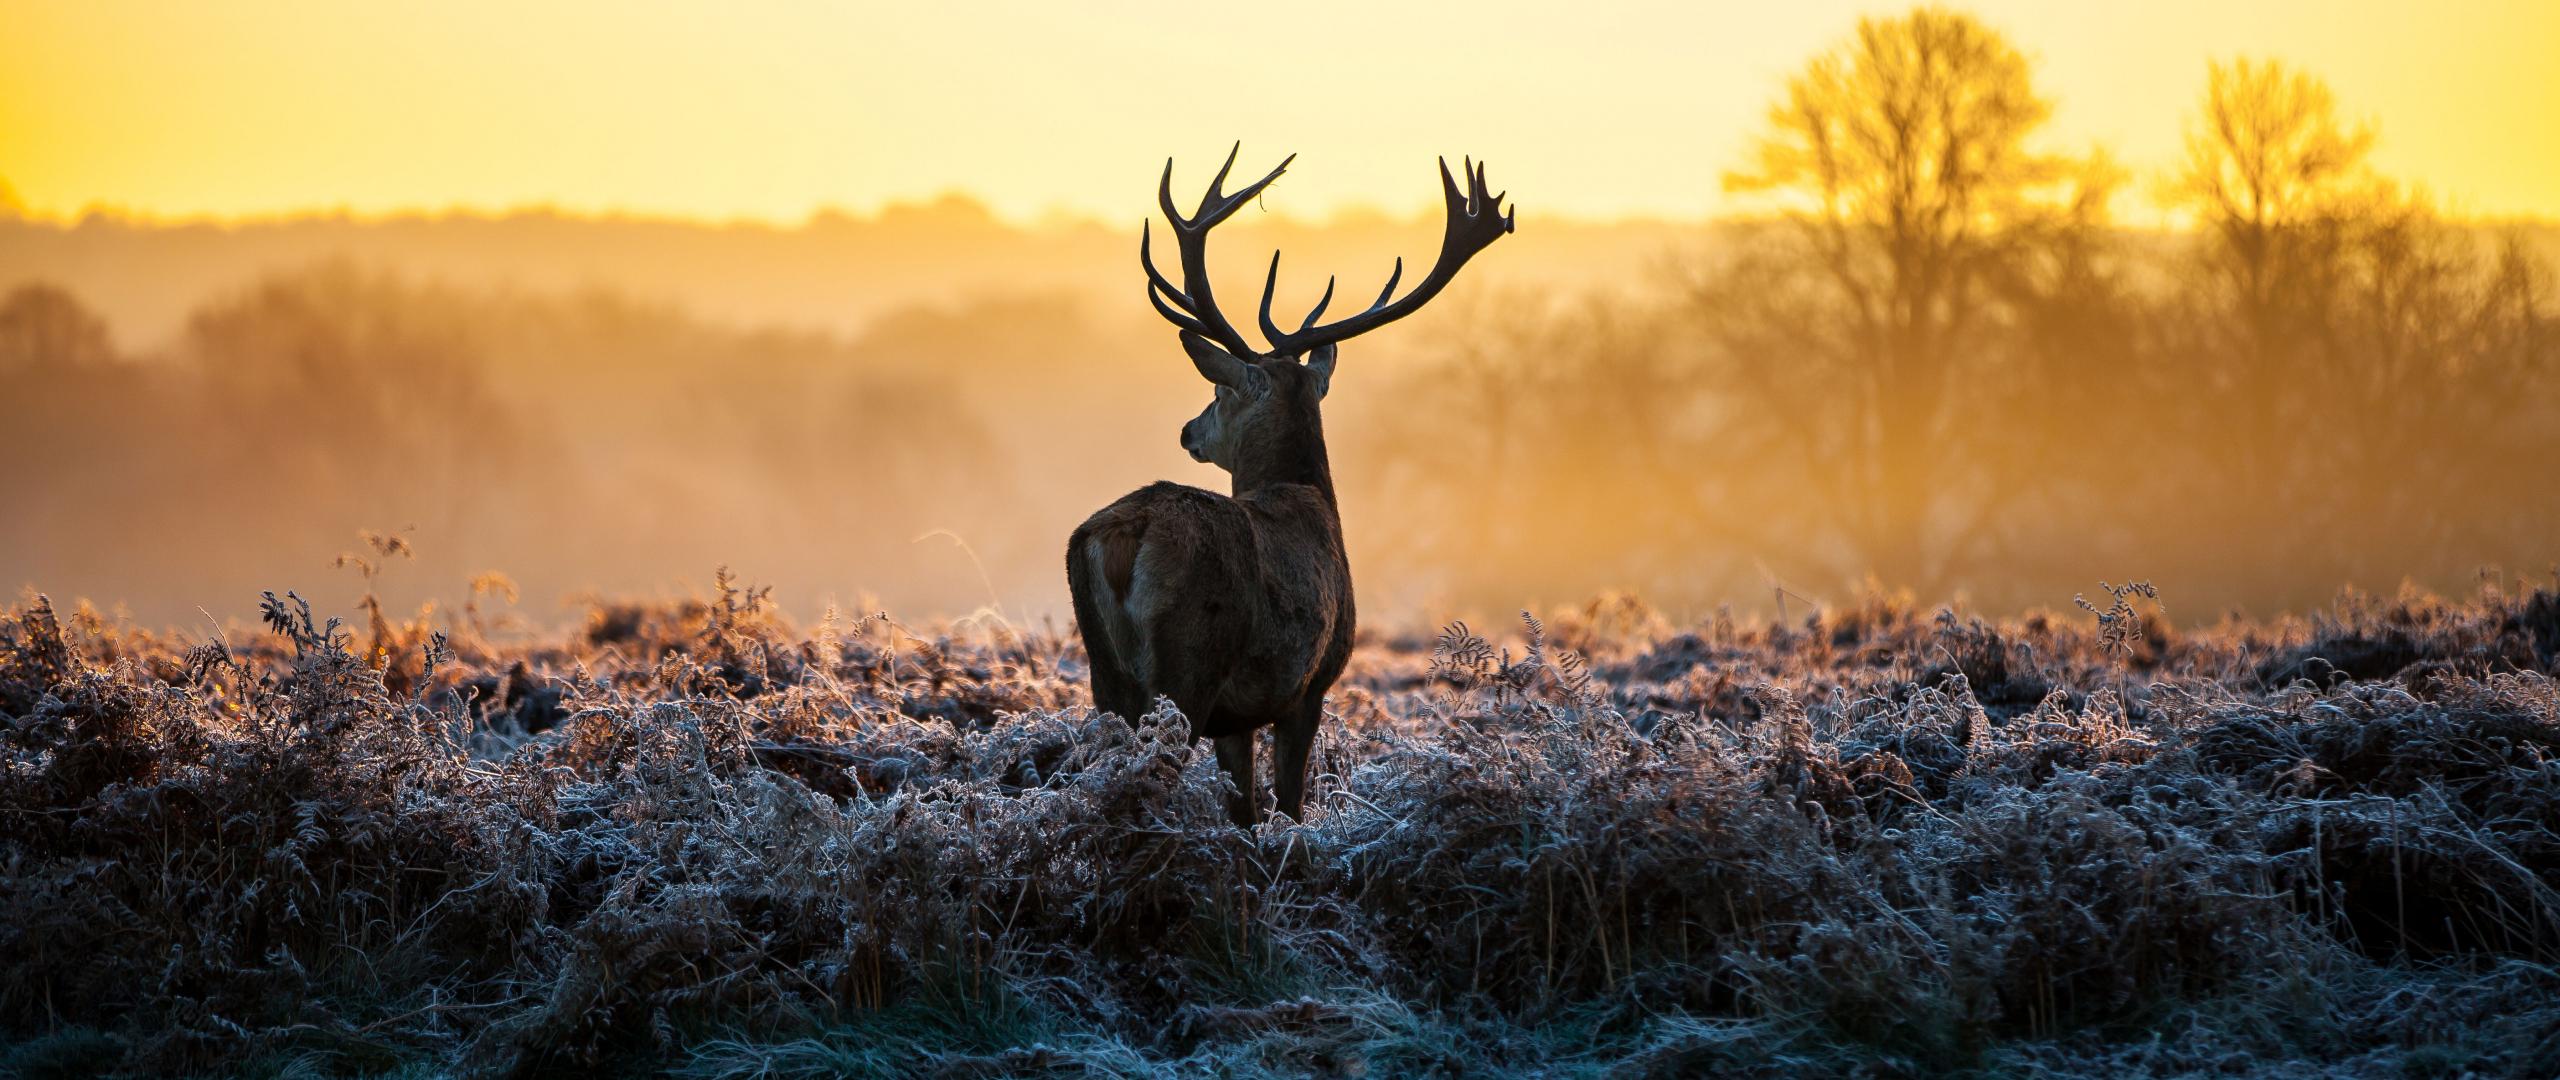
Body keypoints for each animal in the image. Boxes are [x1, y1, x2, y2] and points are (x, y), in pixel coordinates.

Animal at [1066, 145, 1515, 827]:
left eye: (1219, 390)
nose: (1188, 430)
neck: (1309, 498)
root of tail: (1125, 535)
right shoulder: (1309, 685)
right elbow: (1290, 806)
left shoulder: (1238, 716)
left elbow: (1245, 809)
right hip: (1188, 664)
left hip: (1106, 675)